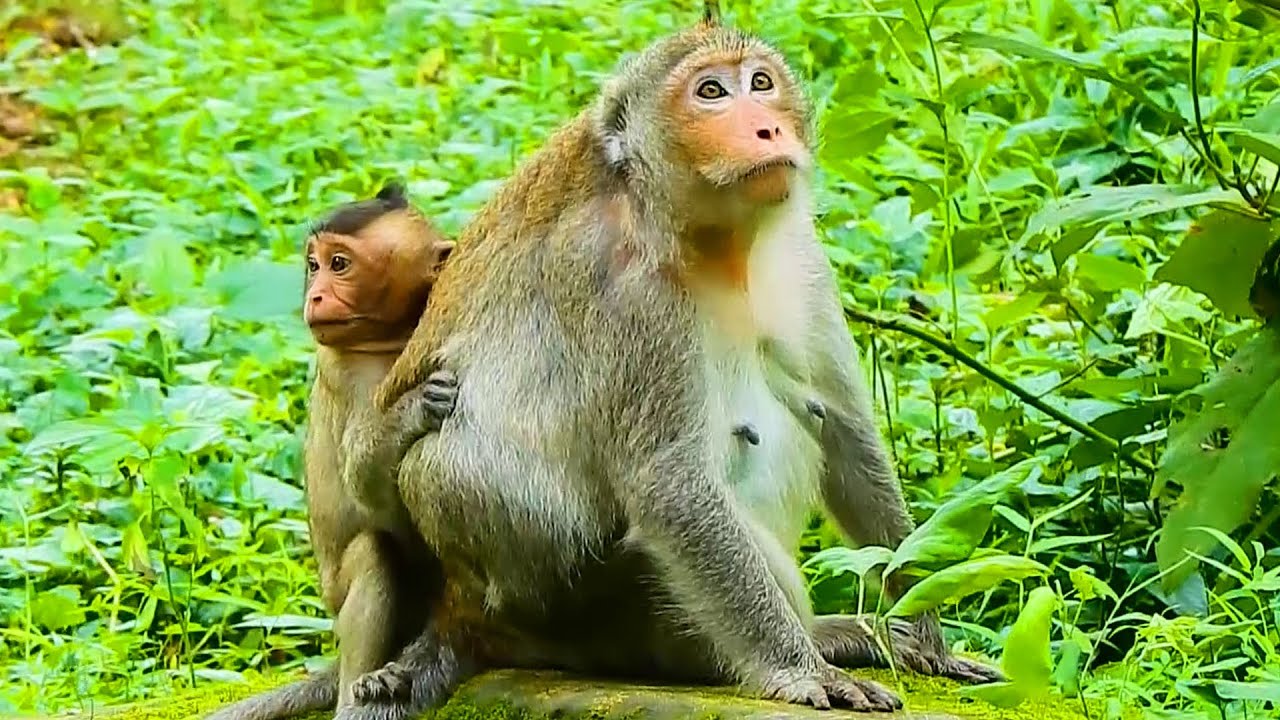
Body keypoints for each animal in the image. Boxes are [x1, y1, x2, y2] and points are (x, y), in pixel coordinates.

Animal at [205, 184, 461, 720]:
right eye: (313, 264)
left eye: (338, 264)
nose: (315, 294)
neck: (386, 341)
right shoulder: (351, 377)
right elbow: (366, 483)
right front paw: (414, 408)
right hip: (336, 596)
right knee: (373, 554)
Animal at [327, 9, 999, 720]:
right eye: (711, 92)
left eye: (761, 83)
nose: (767, 126)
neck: (712, 240)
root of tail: (463, 611)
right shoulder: (621, 288)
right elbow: (667, 481)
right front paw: (802, 672)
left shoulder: (801, 255)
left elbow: (845, 428)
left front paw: (926, 632)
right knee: (448, 464)